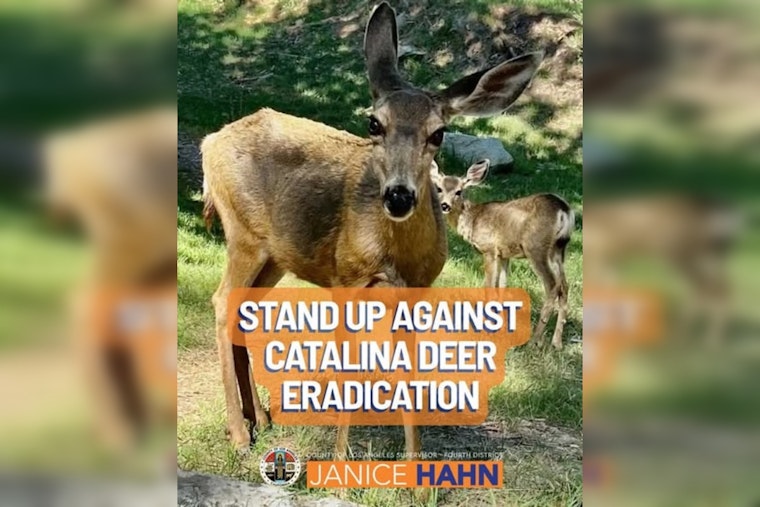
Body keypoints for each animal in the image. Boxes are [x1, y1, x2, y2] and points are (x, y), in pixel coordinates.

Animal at [200, 1, 543, 461]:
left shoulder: (416, 292)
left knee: (242, 308)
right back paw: (239, 432)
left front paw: (416, 467)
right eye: (374, 124)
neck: (395, 256)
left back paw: (261, 419)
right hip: (244, 235)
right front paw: (339, 462)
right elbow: (347, 370)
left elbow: (409, 373)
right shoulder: (346, 279)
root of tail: (210, 141)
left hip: (276, 254)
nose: (398, 196)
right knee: (222, 301)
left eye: (439, 133)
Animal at [430, 159, 575, 349]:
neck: (472, 219)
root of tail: (564, 210)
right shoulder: (504, 254)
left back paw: (534, 340)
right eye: (439, 188)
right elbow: (503, 286)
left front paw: (486, 326)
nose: (445, 205)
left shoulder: (489, 249)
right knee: (564, 286)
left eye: (459, 191)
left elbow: (489, 285)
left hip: (536, 247)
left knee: (552, 285)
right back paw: (556, 342)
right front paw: (501, 324)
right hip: (558, 250)